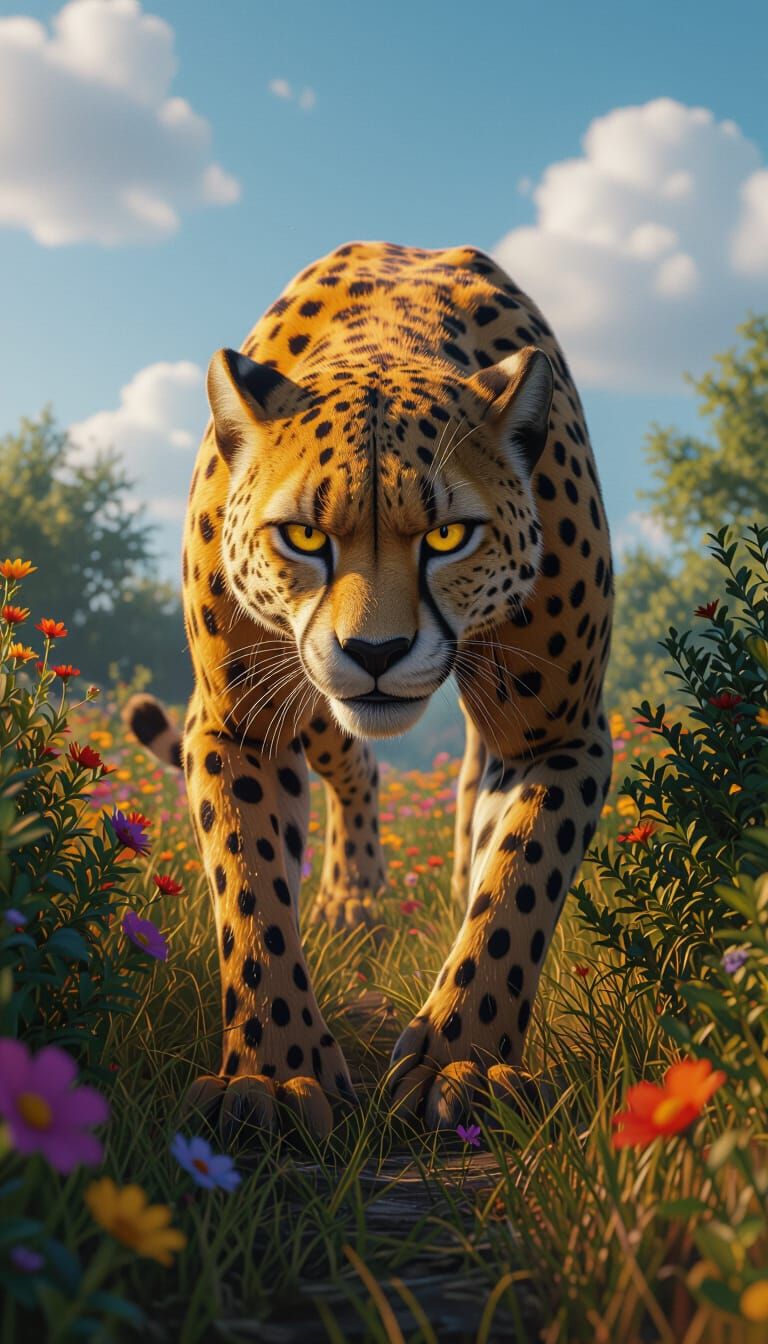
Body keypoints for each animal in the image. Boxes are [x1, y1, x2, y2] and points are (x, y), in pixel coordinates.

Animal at [126, 240, 614, 1140]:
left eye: (449, 536)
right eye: (304, 535)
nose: (376, 651)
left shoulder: (556, 735)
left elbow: (517, 890)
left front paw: (465, 1064)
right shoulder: (241, 722)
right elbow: (251, 892)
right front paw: (275, 1075)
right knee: (356, 765)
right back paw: (352, 900)